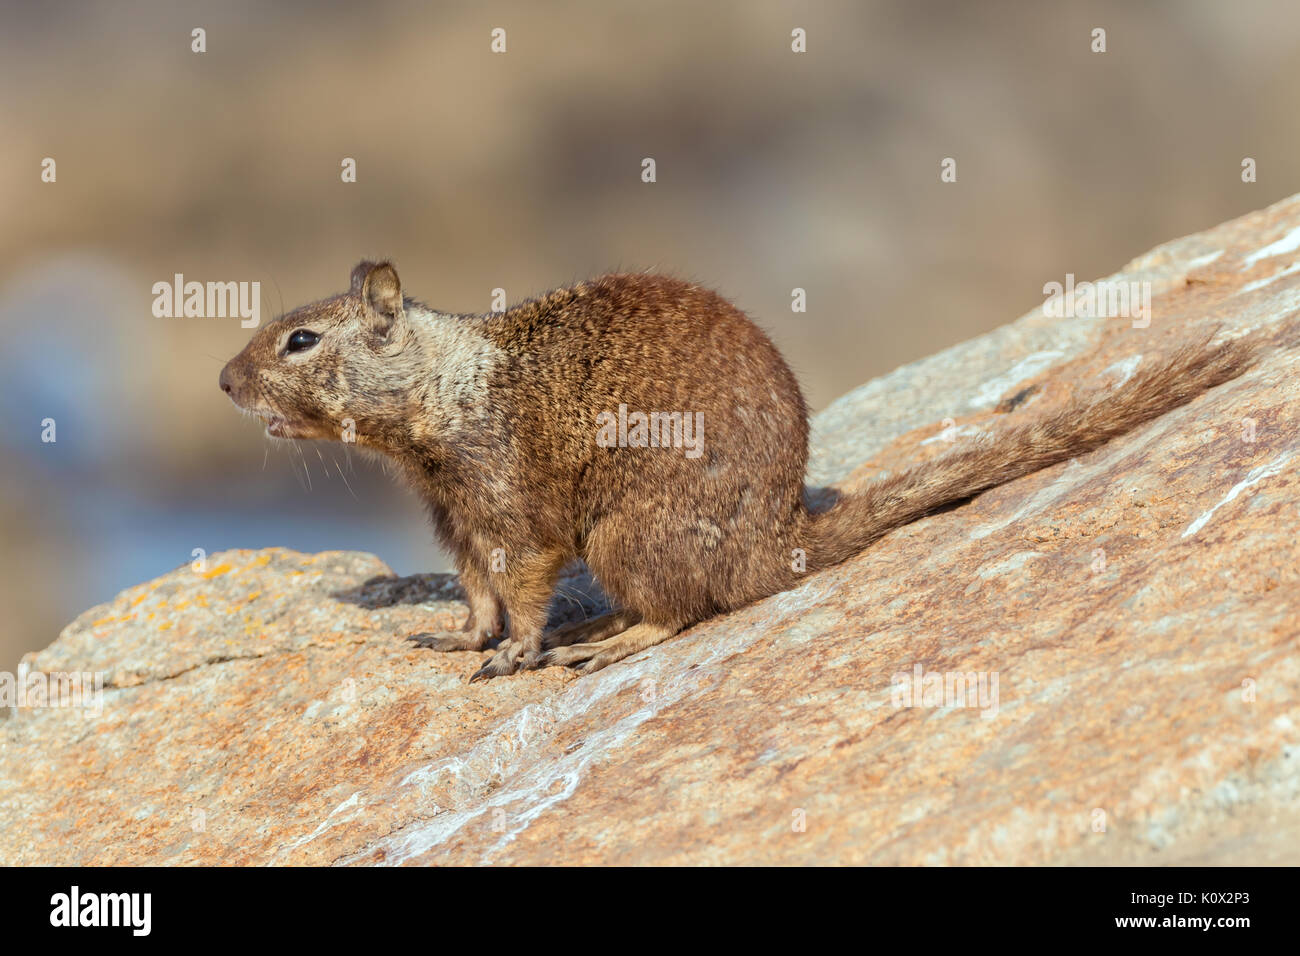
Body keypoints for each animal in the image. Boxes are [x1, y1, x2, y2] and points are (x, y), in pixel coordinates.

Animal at [220, 261, 1258, 680]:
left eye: (301, 340)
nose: (225, 381)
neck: (443, 391)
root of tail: (781, 539)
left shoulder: (511, 507)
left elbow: (524, 587)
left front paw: (516, 651)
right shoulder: (457, 519)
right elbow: (477, 593)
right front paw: (460, 638)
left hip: (628, 534)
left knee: (683, 611)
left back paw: (606, 640)